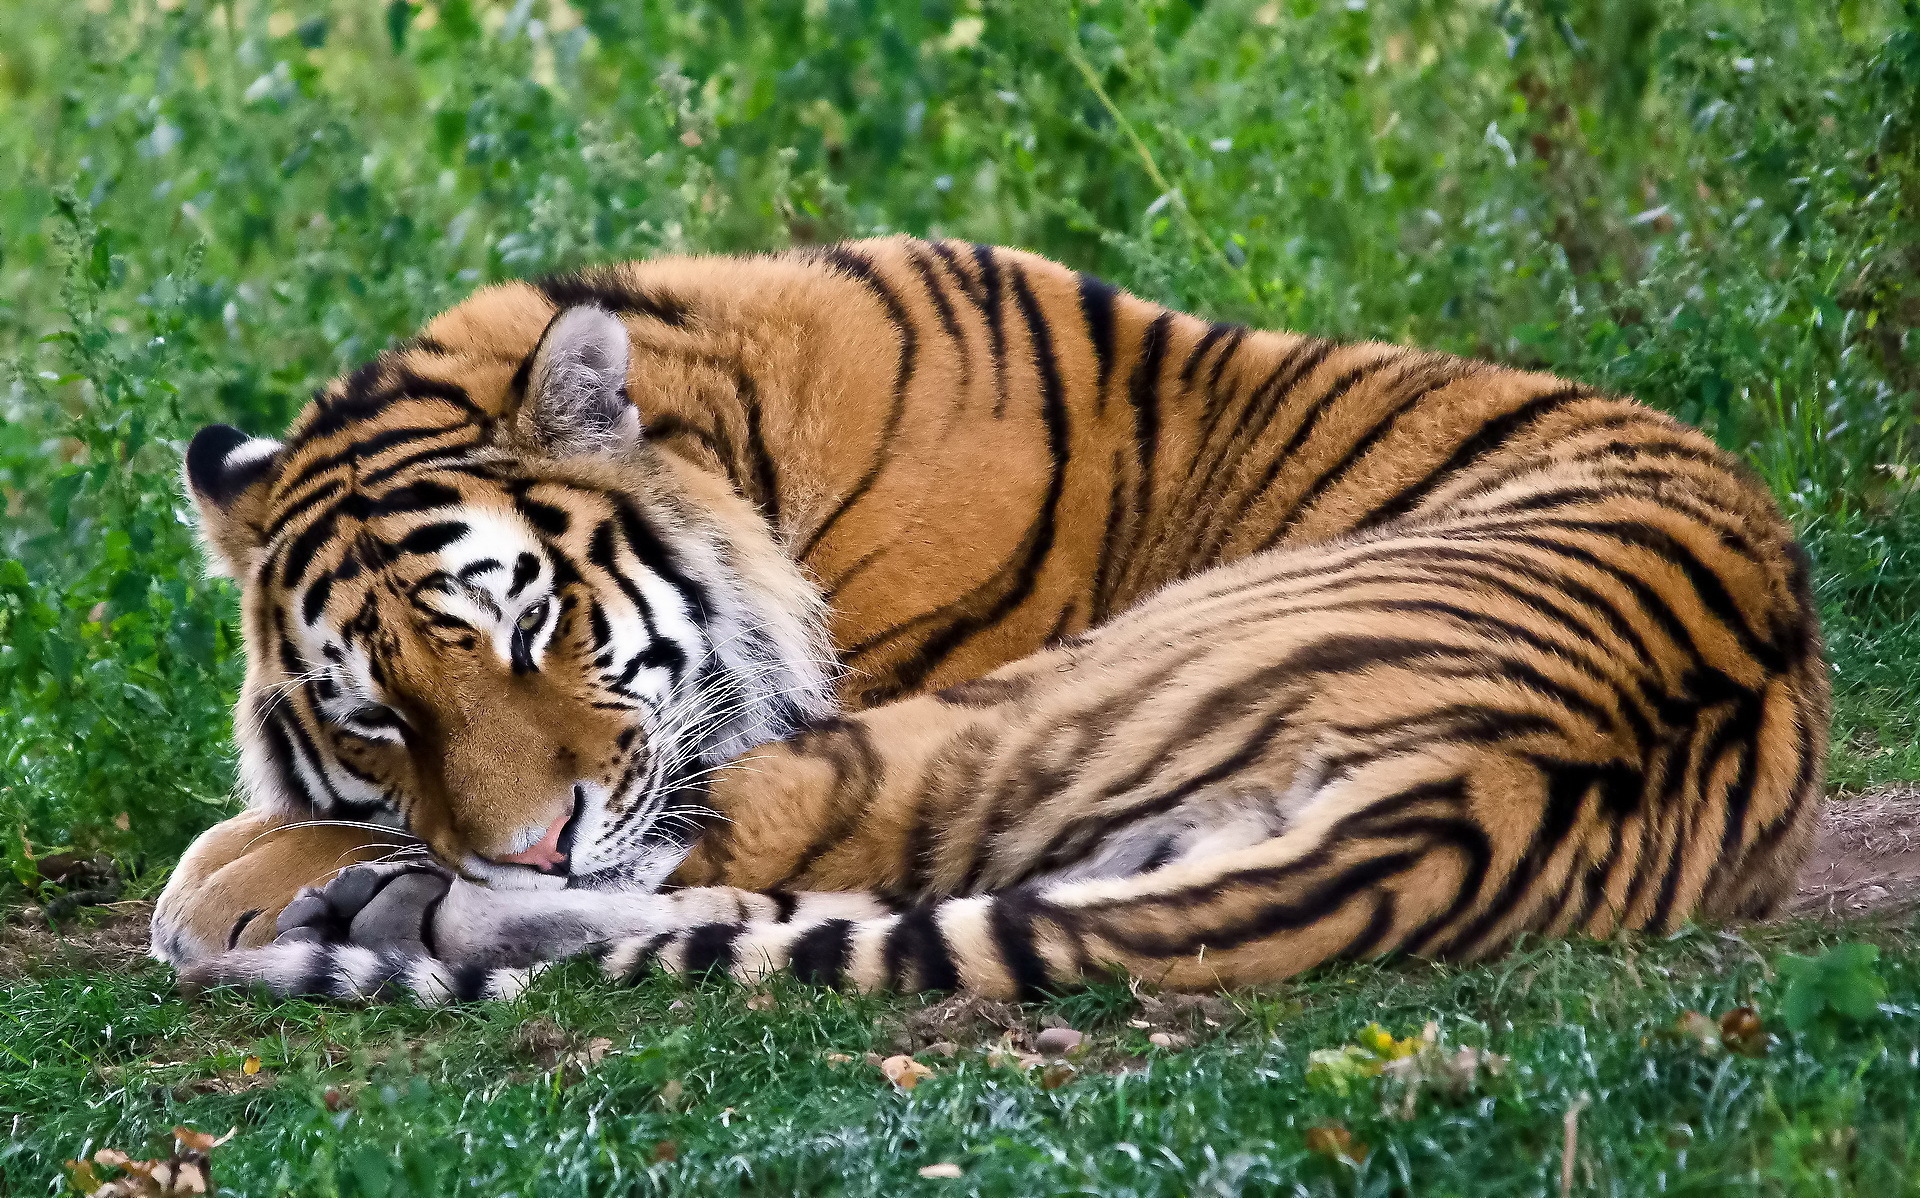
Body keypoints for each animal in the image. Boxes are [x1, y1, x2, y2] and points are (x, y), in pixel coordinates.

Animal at [152, 236, 1828, 1005]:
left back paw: (362, 907)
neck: (736, 442)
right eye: (377, 712)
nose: (534, 840)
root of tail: (1481, 788)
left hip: (1012, 703)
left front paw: (231, 887)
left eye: (526, 628)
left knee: (716, 867)